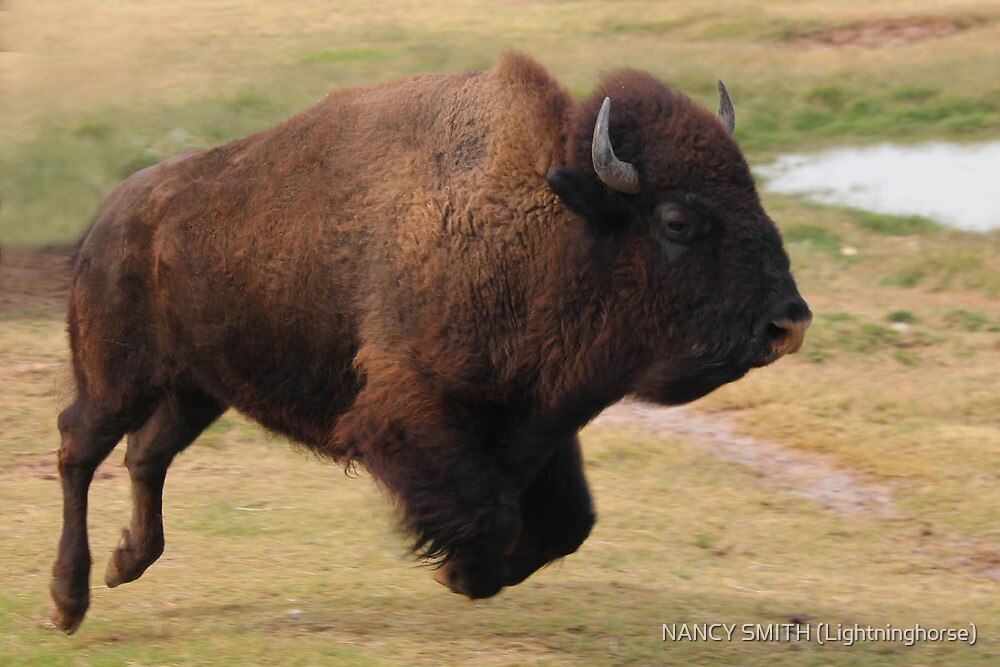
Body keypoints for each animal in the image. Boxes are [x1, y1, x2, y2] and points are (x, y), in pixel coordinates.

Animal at [51, 52, 811, 633]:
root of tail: (114, 212)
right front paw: (460, 571)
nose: (789, 322)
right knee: (79, 448)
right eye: (677, 220)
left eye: (752, 191)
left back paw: (126, 563)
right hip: (116, 376)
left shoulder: (540, 423)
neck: (554, 224)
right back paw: (69, 599)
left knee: (146, 455)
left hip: (198, 389)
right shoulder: (408, 414)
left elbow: (569, 522)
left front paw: (466, 574)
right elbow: (494, 512)